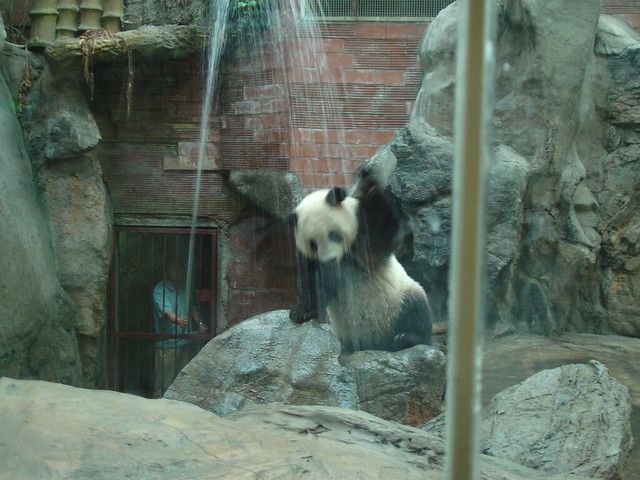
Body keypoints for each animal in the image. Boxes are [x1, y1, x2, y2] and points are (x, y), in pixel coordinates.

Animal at [288, 178, 432, 352]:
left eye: (333, 235)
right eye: (313, 244)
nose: (330, 259)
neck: (343, 257)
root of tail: (379, 344)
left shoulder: (363, 231)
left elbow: (381, 231)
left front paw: (371, 186)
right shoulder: (312, 258)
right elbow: (314, 282)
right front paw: (299, 312)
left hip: (400, 298)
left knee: (416, 311)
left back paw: (407, 338)